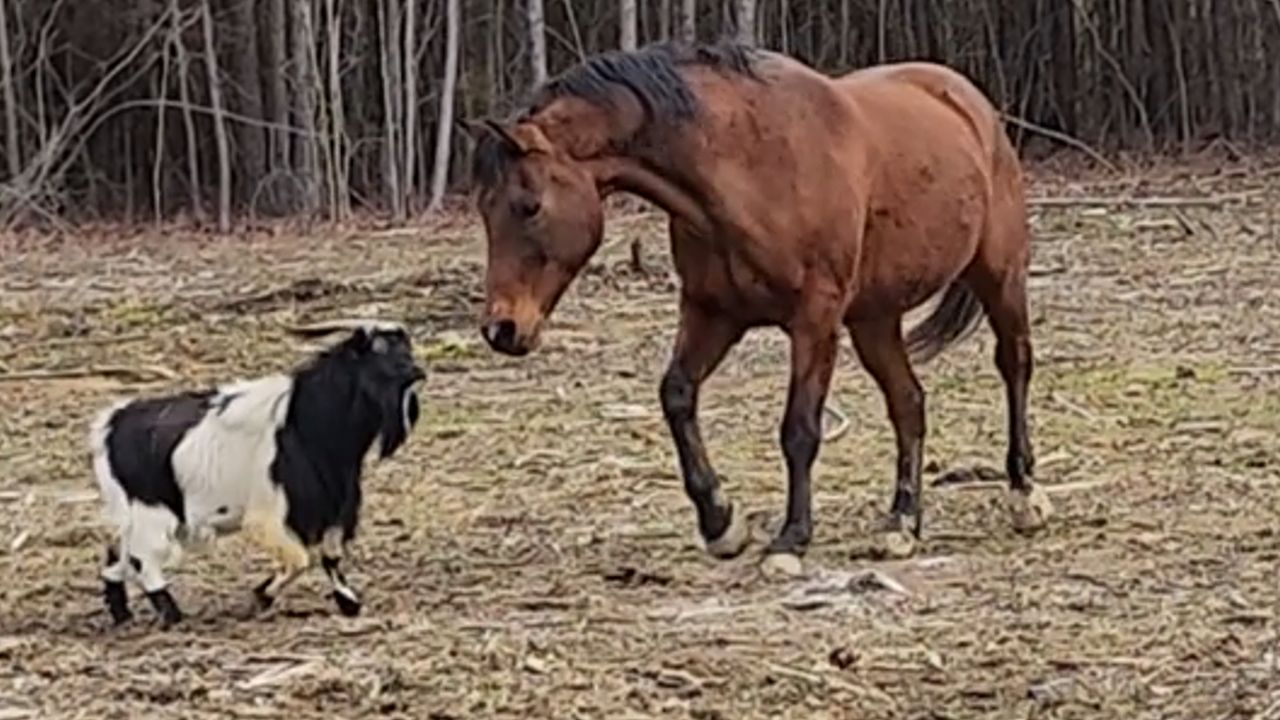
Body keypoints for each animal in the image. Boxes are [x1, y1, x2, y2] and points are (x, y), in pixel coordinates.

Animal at [461, 41, 1053, 576]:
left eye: (528, 206)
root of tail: (970, 103)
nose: (502, 329)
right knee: (908, 403)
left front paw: (790, 540)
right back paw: (902, 522)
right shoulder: (712, 312)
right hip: (874, 318)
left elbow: (799, 429)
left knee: (1014, 365)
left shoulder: (815, 319)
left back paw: (1024, 493)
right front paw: (720, 522)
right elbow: (676, 396)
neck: (746, 164)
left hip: (998, 275)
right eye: (484, 209)